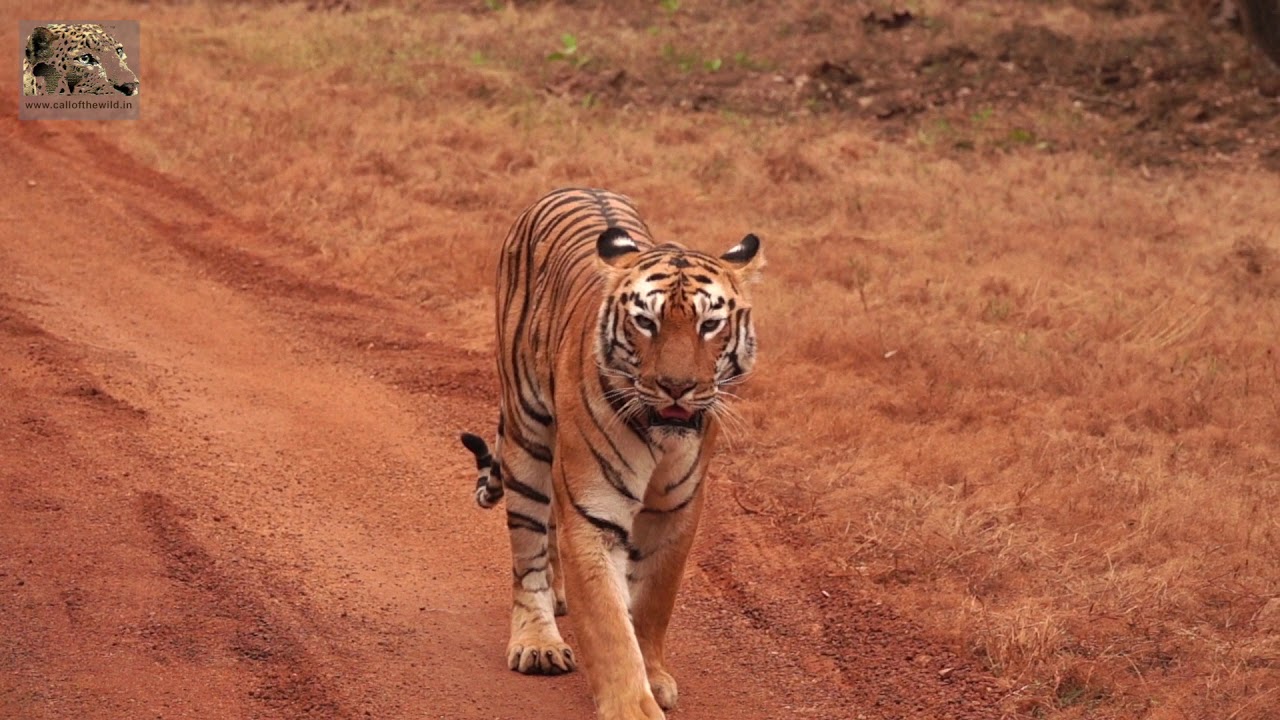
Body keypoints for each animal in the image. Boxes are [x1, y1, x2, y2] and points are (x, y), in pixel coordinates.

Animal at [459, 187, 762, 720]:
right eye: (646, 322)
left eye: (710, 325)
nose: (677, 387)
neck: (662, 439)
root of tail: (573, 187)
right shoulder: (593, 512)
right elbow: (608, 622)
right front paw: (632, 705)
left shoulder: (676, 512)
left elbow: (652, 602)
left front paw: (655, 676)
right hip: (525, 432)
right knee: (528, 547)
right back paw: (538, 640)